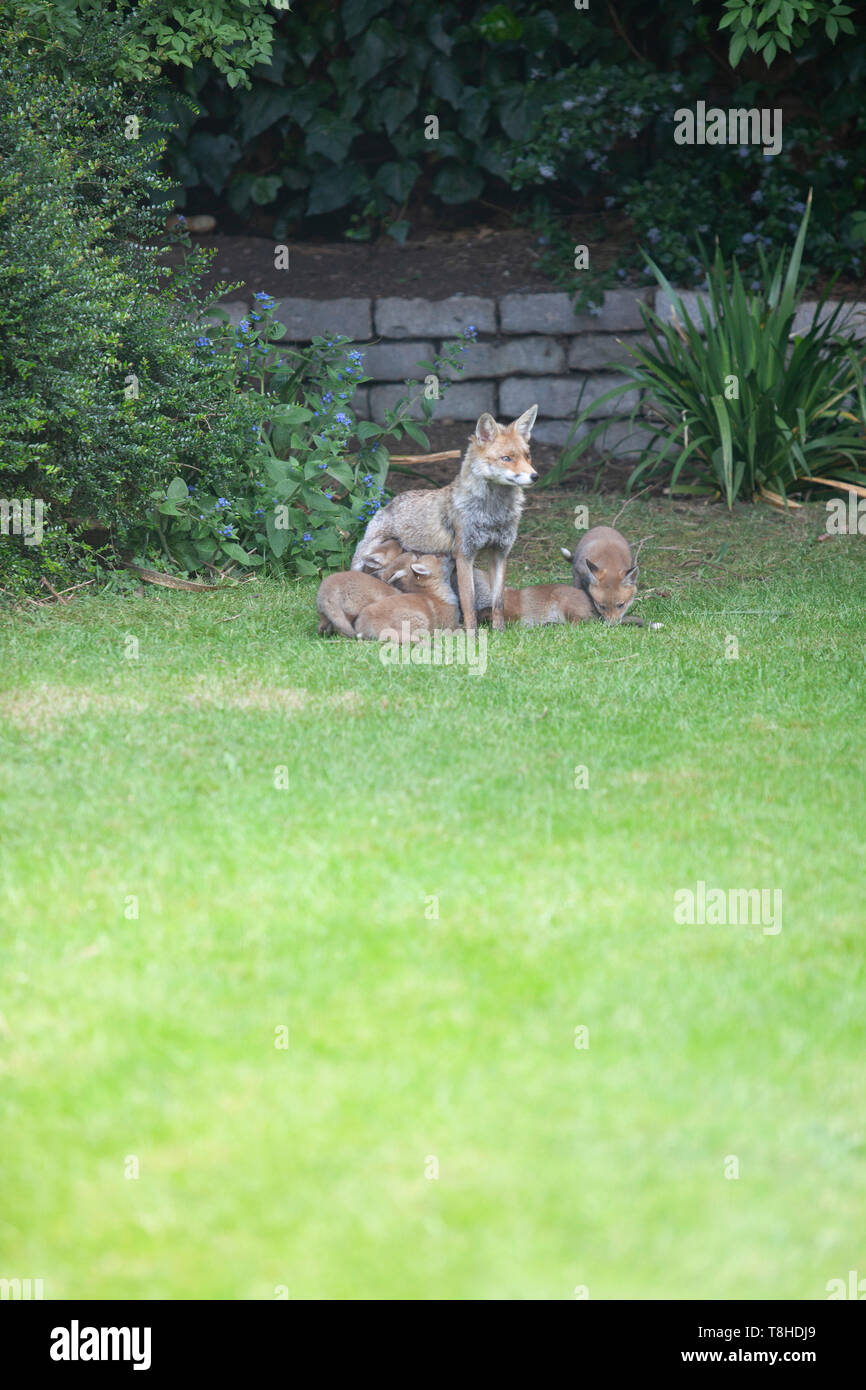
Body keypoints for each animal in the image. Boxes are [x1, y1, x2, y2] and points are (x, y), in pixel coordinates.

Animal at [351, 406, 539, 633]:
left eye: (528, 456)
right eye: (506, 458)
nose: (535, 476)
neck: (493, 514)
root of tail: (392, 499)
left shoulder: (500, 553)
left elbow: (498, 602)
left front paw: (500, 632)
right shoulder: (464, 555)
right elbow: (468, 602)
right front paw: (472, 634)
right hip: (363, 555)